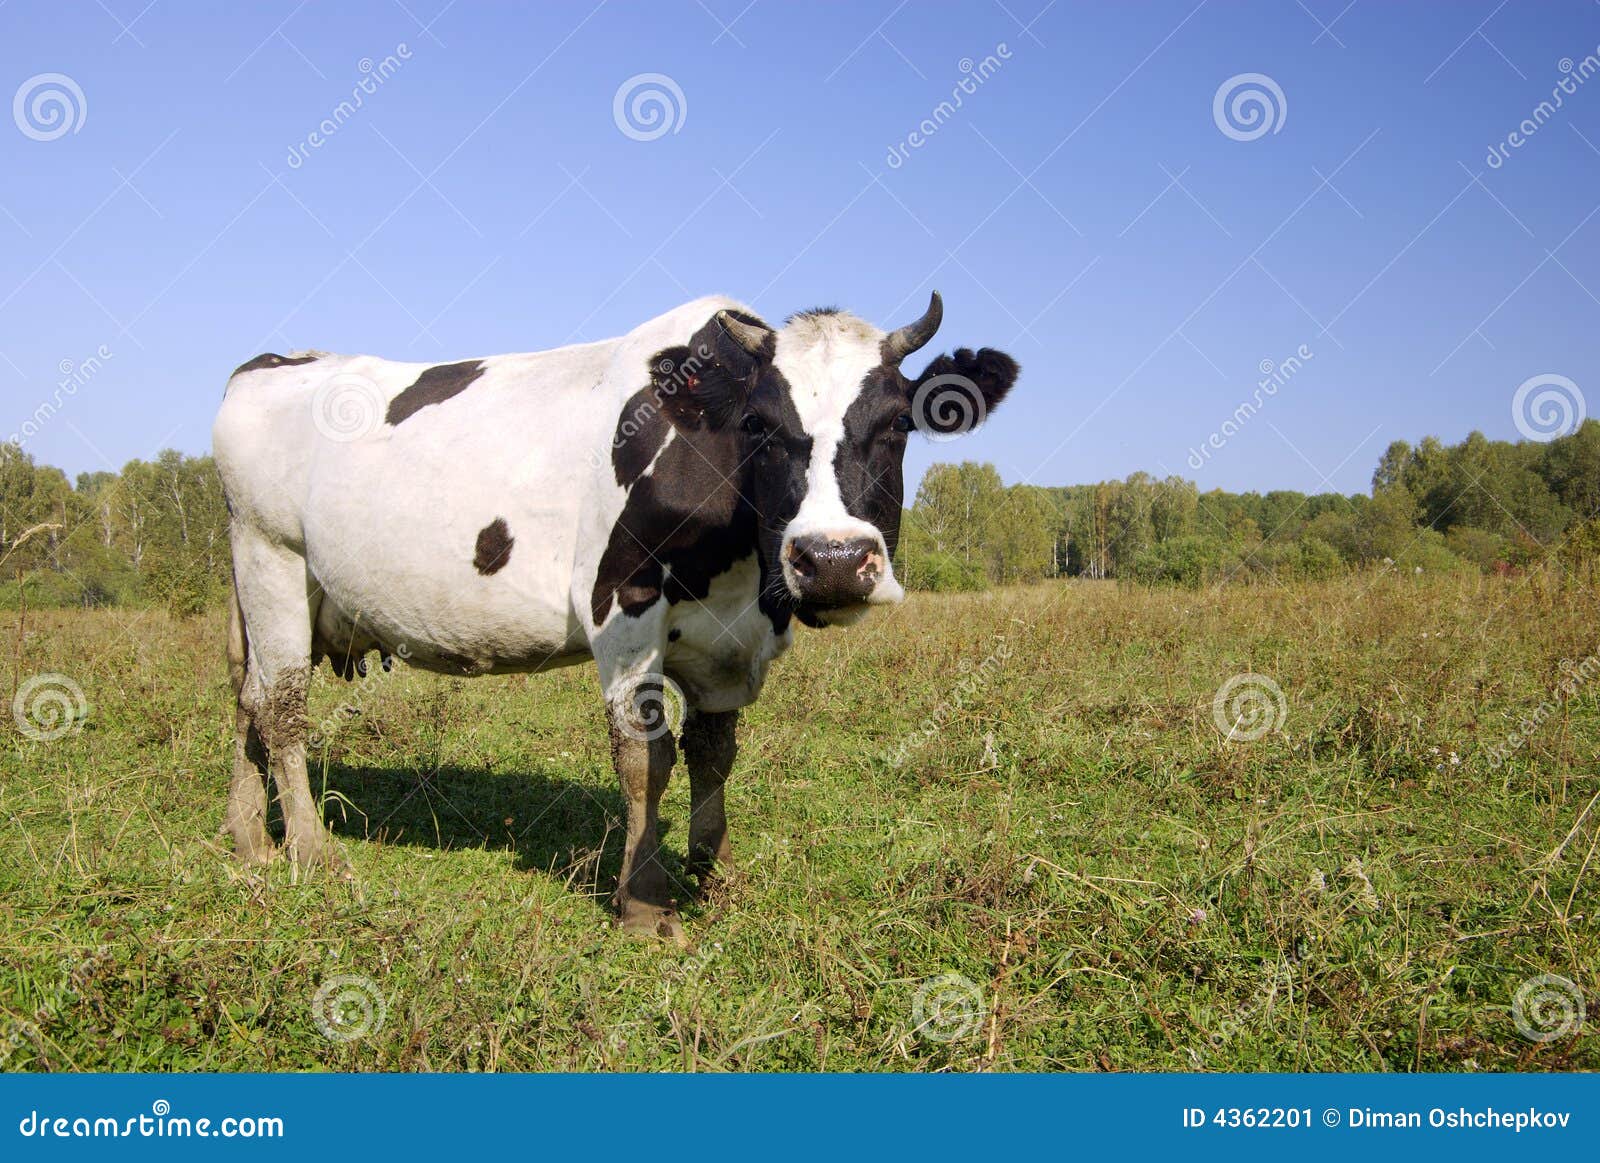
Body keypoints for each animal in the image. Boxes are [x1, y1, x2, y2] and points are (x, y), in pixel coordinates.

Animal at [213, 291, 1018, 941]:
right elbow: (644, 758)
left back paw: (250, 841)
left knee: (247, 698)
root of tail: (275, 360)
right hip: (270, 556)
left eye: (898, 423)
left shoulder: (731, 641)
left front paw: (713, 871)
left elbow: (713, 754)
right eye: (760, 424)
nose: (833, 559)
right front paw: (646, 902)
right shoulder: (622, 608)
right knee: (282, 708)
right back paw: (312, 852)